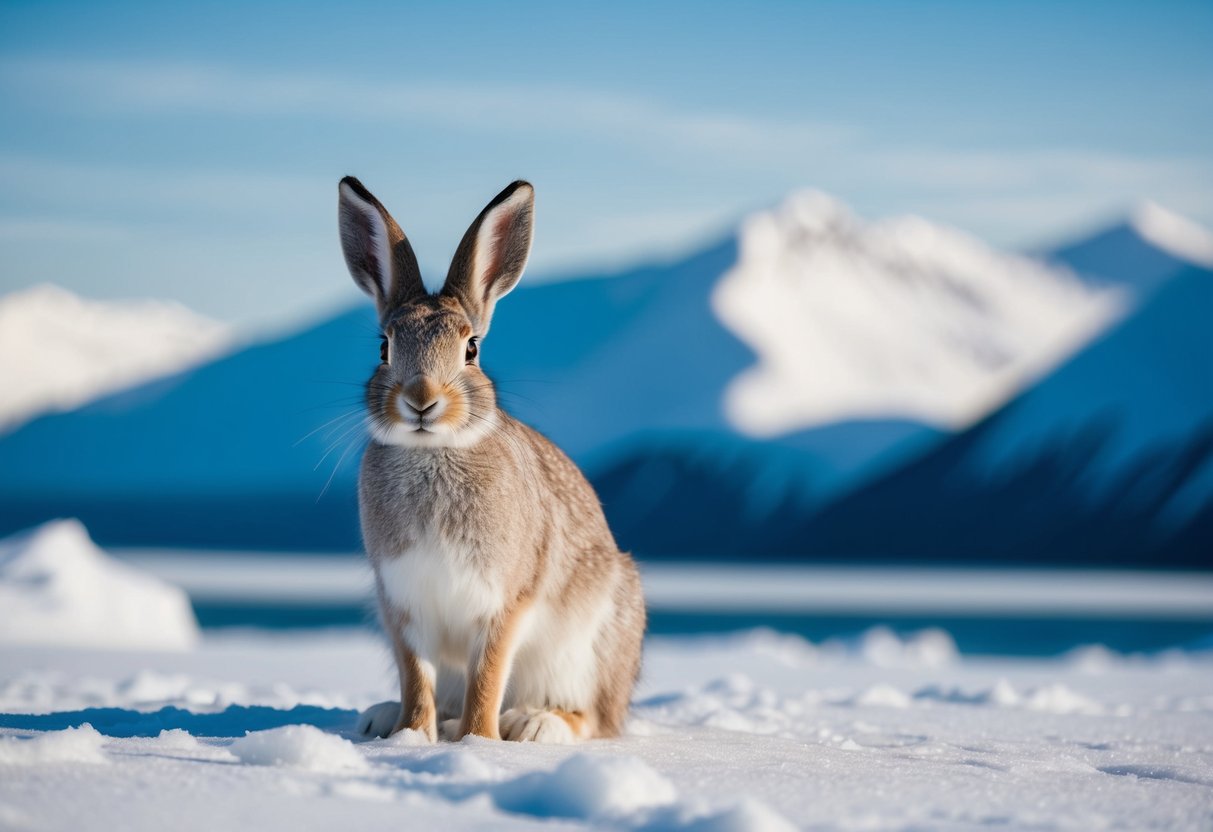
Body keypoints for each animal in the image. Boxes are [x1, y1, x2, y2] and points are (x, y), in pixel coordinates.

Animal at [338, 176, 646, 743]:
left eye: (472, 349)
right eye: (384, 347)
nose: (421, 400)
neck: (432, 452)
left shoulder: (505, 602)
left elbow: (488, 675)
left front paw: (479, 741)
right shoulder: (403, 605)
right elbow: (417, 678)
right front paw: (413, 736)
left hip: (593, 644)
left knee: (596, 717)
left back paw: (535, 724)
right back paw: (382, 717)